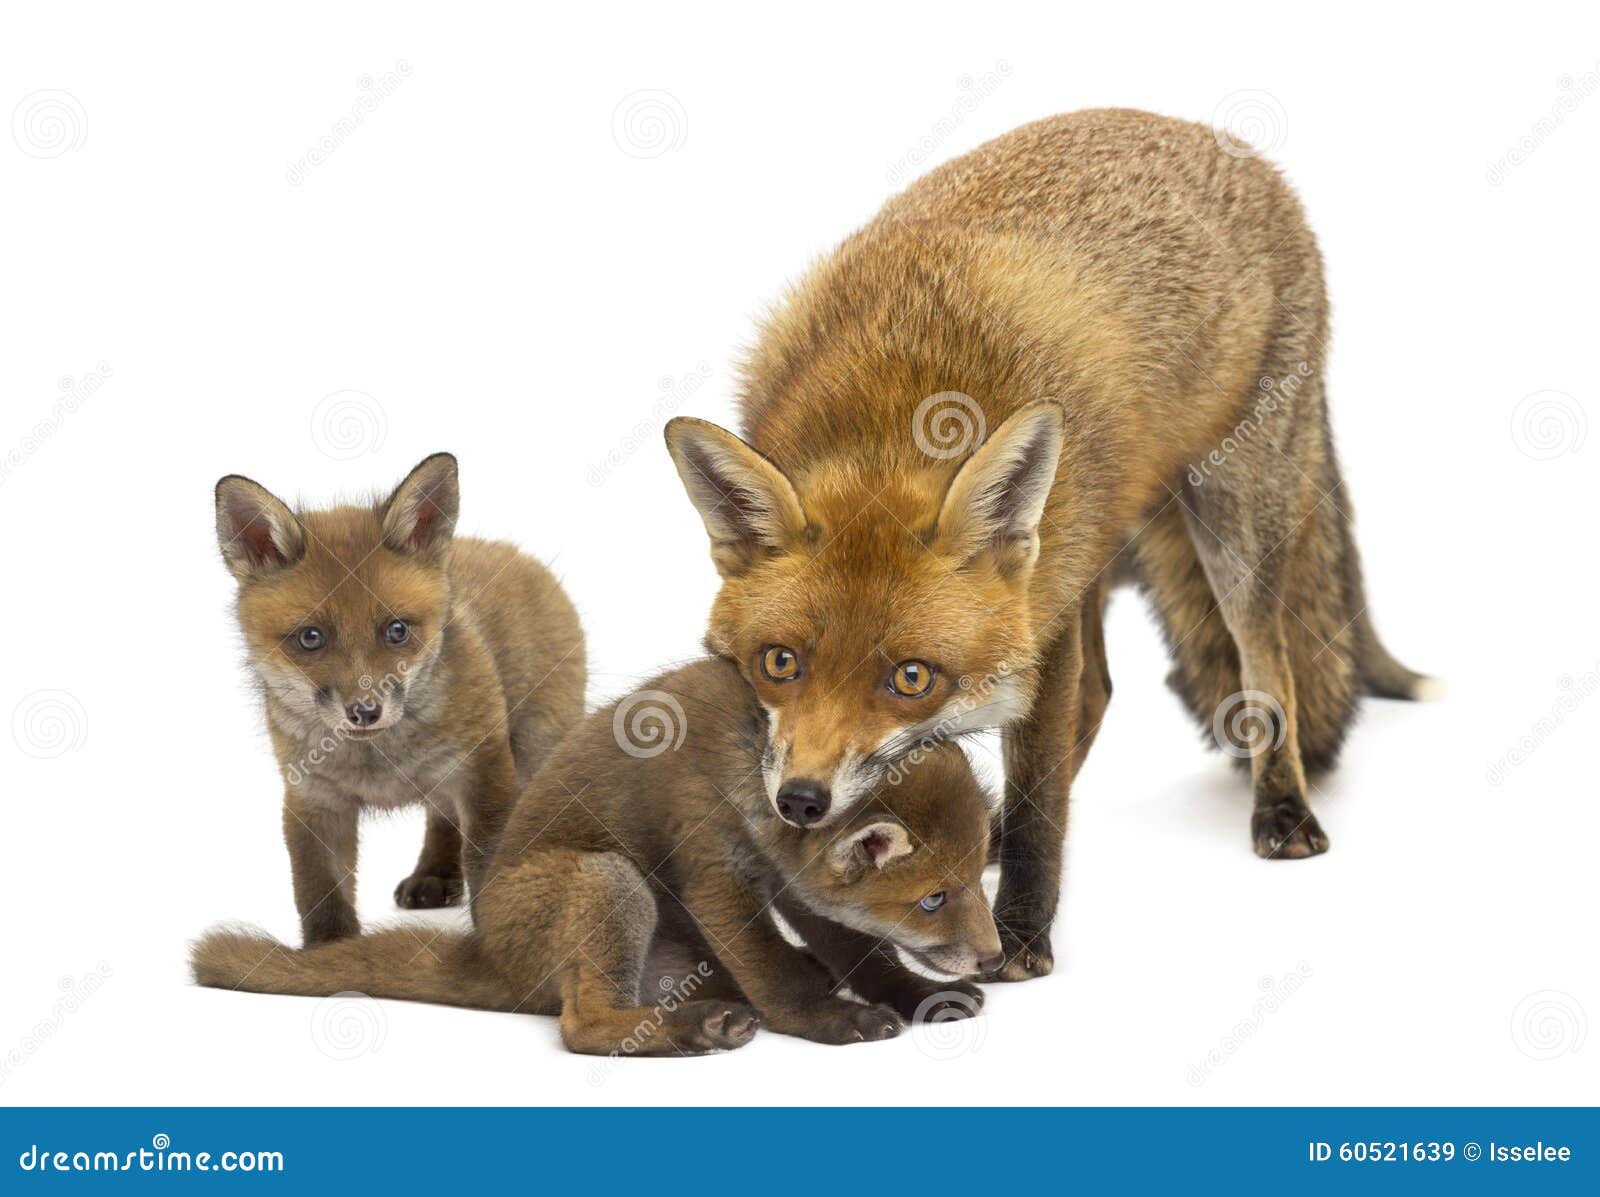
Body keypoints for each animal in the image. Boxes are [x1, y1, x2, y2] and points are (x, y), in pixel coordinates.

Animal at [192, 657, 1001, 1055]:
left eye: (977, 881)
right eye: (934, 898)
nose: (997, 956)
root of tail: (489, 952)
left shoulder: (795, 887)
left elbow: (860, 951)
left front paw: (912, 995)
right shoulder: (715, 870)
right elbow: (773, 971)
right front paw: (831, 1019)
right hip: (608, 881)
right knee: (582, 1025)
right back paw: (696, 1029)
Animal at [213, 451, 585, 946]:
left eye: (397, 631)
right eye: (311, 638)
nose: (365, 711)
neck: (379, 759)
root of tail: (513, 552)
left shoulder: (484, 768)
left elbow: (486, 859)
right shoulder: (312, 796)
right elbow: (319, 888)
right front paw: (329, 951)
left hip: (537, 749)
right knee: (442, 818)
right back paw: (435, 874)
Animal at [662, 108, 1434, 983]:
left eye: (911, 677)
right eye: (780, 662)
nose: (801, 799)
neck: (893, 410)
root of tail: (1221, 139)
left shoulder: (1045, 616)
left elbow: (1040, 795)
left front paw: (1023, 932)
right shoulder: (1046, 586)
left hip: (1232, 519)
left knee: (1264, 665)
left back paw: (1283, 810)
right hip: (1089, 549)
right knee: (1098, 693)